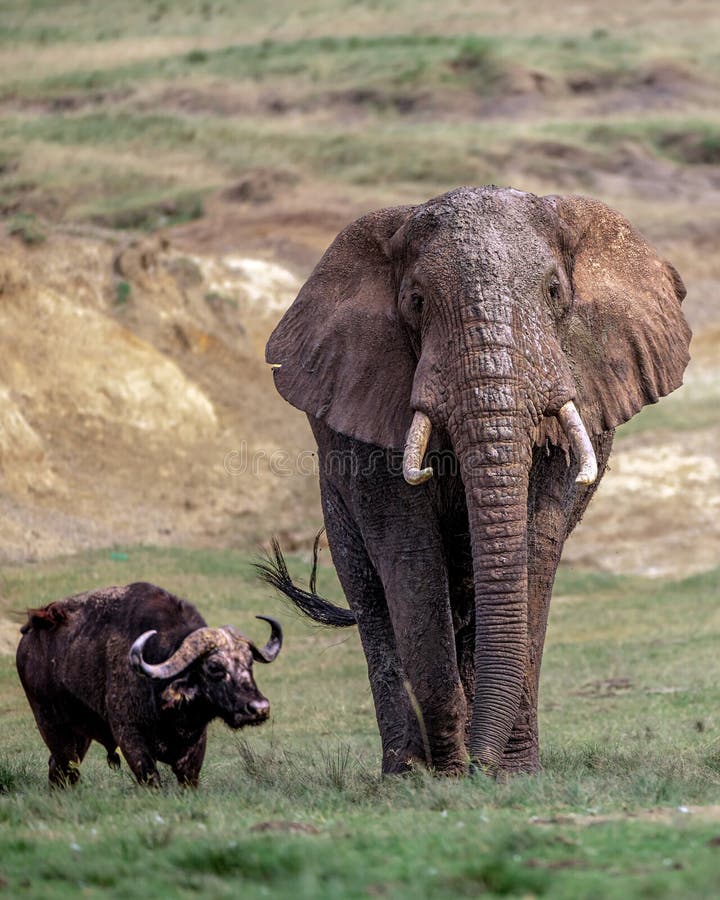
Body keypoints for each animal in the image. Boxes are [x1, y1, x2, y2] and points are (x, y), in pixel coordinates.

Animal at [16, 582, 281, 787]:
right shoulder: (130, 736)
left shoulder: (195, 745)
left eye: (249, 662)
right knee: (66, 767)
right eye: (214, 667)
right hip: (51, 724)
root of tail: (32, 631)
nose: (259, 708)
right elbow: (150, 778)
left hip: (80, 733)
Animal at [261, 186, 691, 777]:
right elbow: (407, 548)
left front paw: (510, 774)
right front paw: (442, 773)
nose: (474, 768)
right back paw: (403, 771)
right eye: (417, 302)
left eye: (554, 291)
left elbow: (535, 543)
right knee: (373, 597)